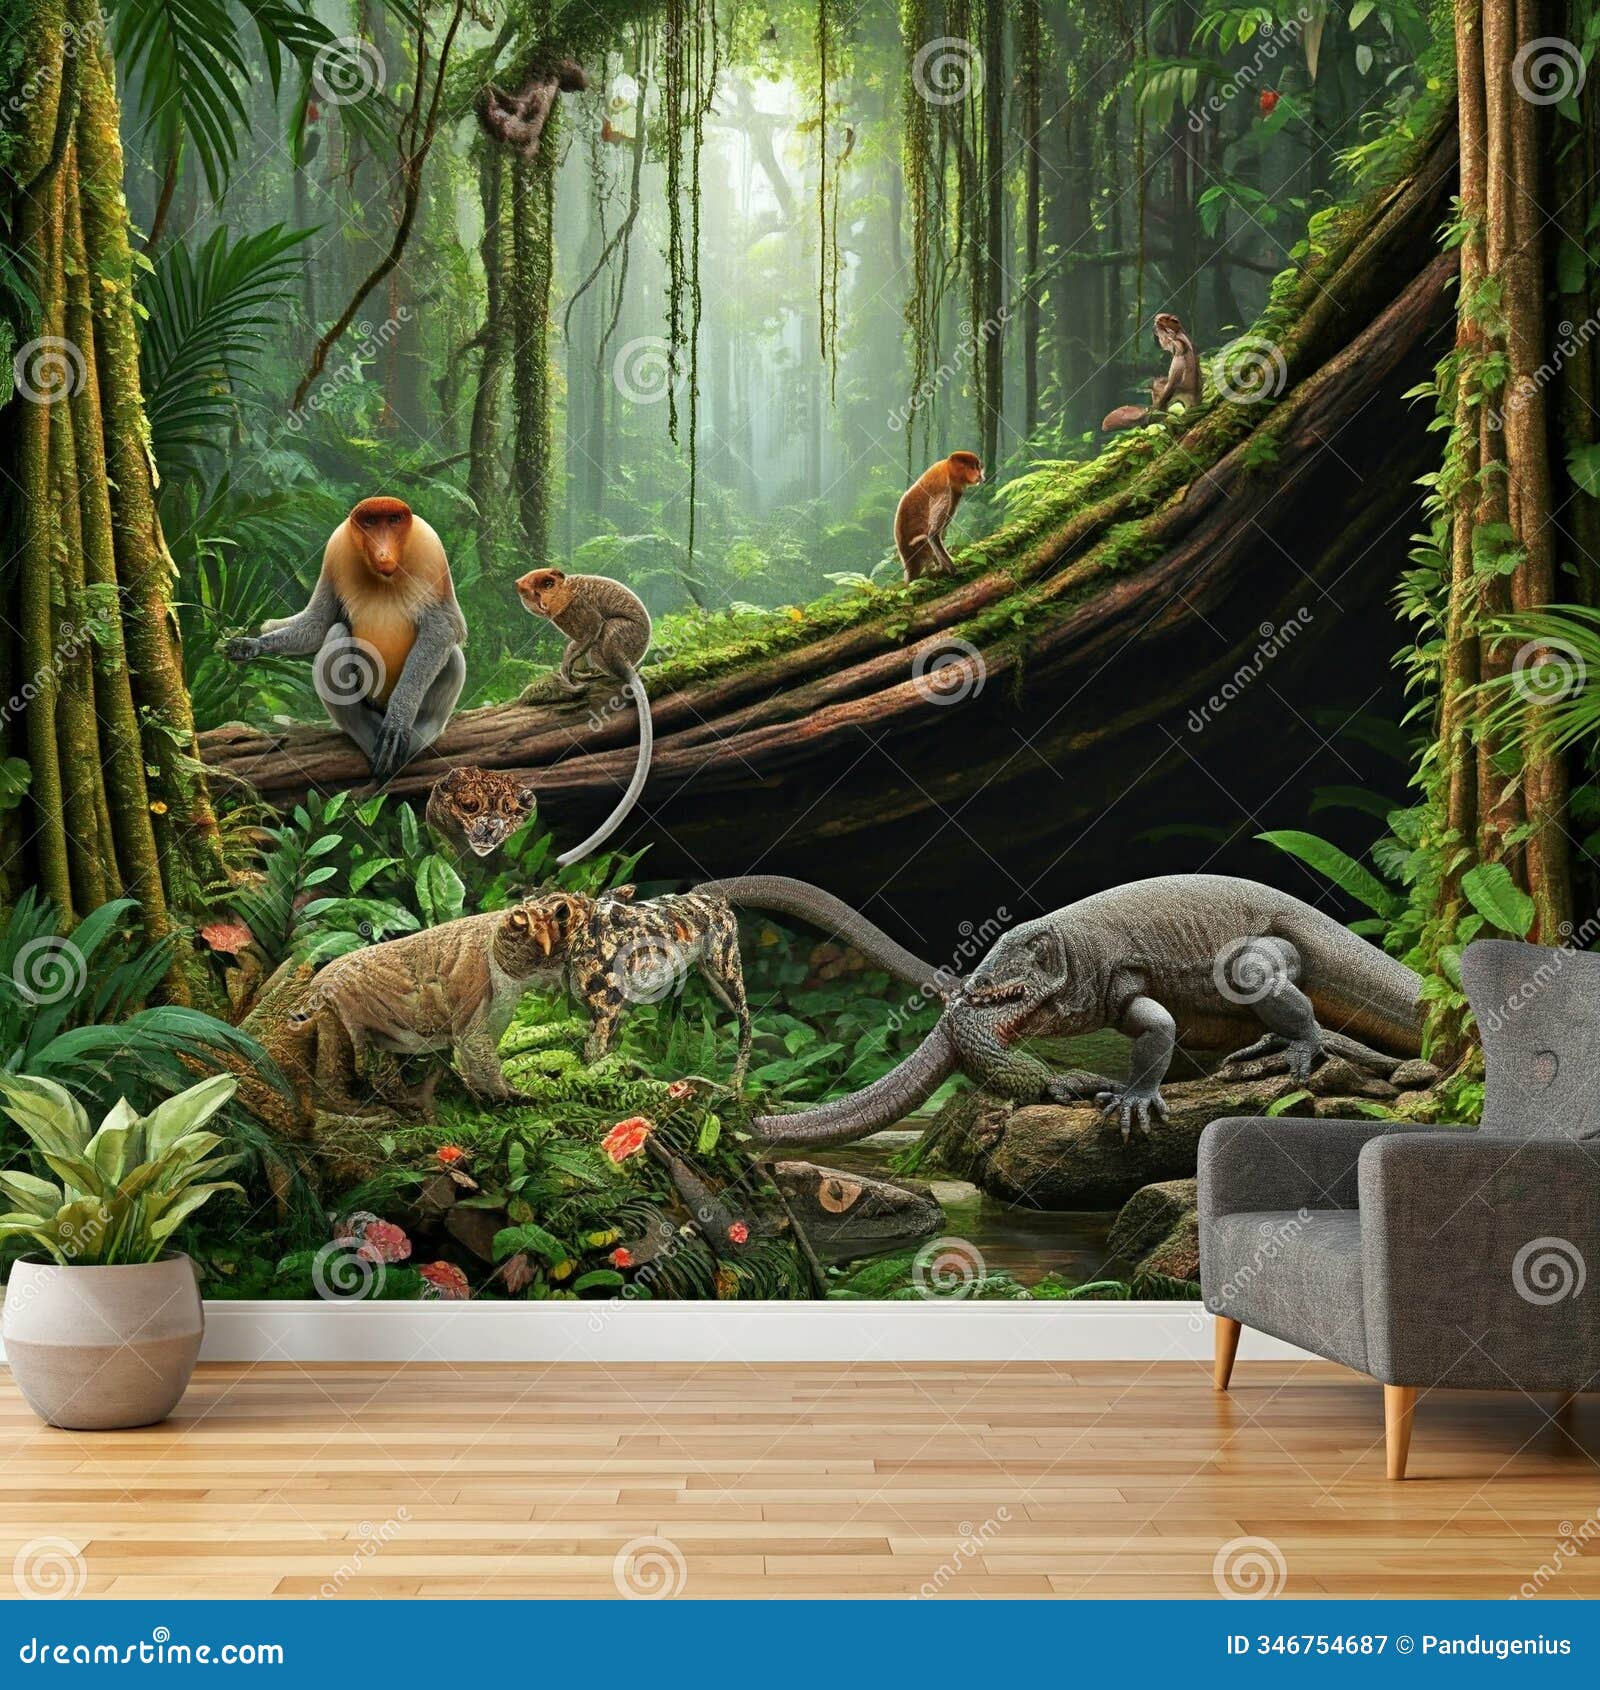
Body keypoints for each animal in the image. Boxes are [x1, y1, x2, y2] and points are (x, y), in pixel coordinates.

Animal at [225, 497, 466, 783]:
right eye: (370, 522)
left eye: (394, 520)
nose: (383, 552)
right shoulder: (336, 548)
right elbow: (319, 623)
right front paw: (249, 645)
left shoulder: (431, 548)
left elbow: (444, 626)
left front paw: (398, 721)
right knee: (337, 634)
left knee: (452, 655)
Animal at [515, 568, 653, 868]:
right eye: (531, 592)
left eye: (547, 584)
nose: (543, 602)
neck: (564, 593)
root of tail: (628, 663)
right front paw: (570, 669)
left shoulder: (578, 606)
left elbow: (593, 628)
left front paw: (569, 668)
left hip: (623, 638)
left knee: (606, 633)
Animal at [894, 451, 985, 584]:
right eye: (973, 467)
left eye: (978, 467)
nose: (980, 476)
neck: (948, 468)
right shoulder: (944, 488)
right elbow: (932, 534)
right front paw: (954, 571)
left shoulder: (955, 492)